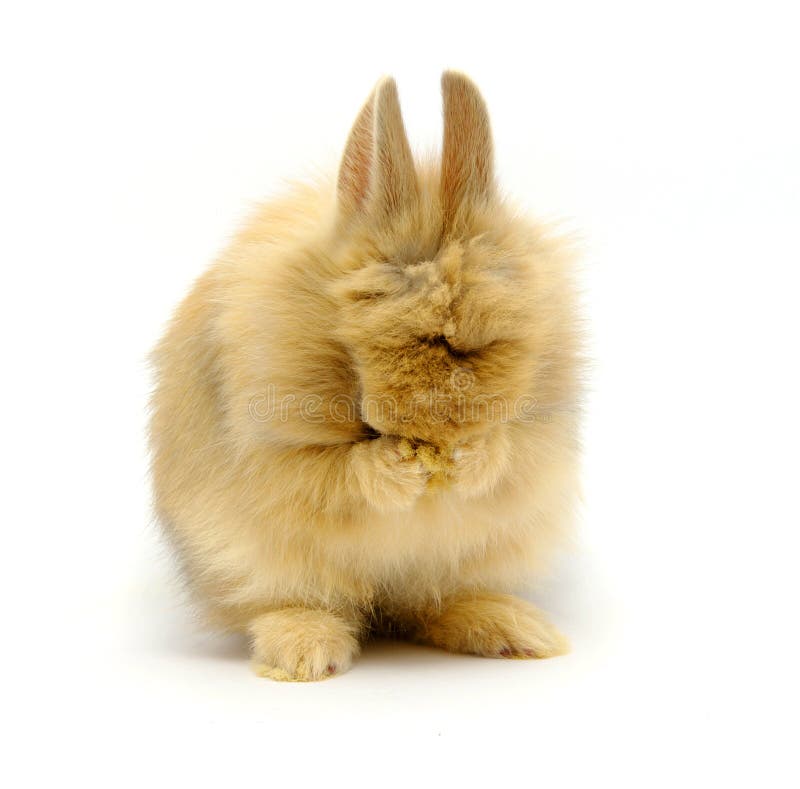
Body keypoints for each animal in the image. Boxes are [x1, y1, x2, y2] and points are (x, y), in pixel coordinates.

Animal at [149, 71, 583, 681]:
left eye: (486, 338)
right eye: (368, 335)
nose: (437, 443)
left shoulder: (543, 439)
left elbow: (510, 453)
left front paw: (469, 458)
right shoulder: (273, 451)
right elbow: (338, 473)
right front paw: (397, 467)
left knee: (432, 604)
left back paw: (514, 630)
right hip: (255, 558)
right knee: (299, 602)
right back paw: (305, 654)